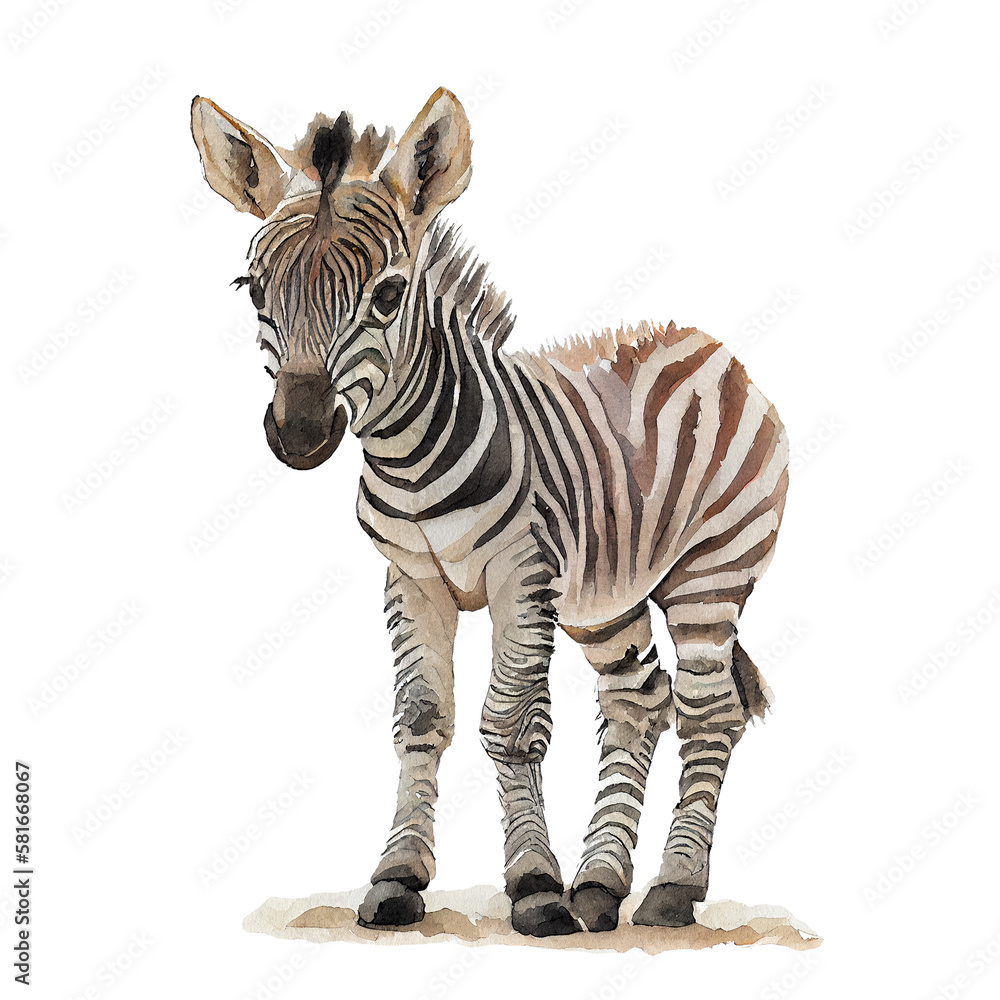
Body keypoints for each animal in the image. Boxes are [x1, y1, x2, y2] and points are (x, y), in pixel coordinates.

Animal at [192, 88, 789, 938]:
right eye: (252, 288)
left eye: (389, 294)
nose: (300, 433)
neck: (409, 460)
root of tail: (706, 342)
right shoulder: (411, 578)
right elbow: (420, 718)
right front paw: (398, 877)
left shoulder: (522, 576)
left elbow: (510, 723)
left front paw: (535, 886)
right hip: (604, 600)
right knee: (639, 701)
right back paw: (600, 885)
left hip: (711, 574)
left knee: (709, 713)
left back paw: (671, 888)